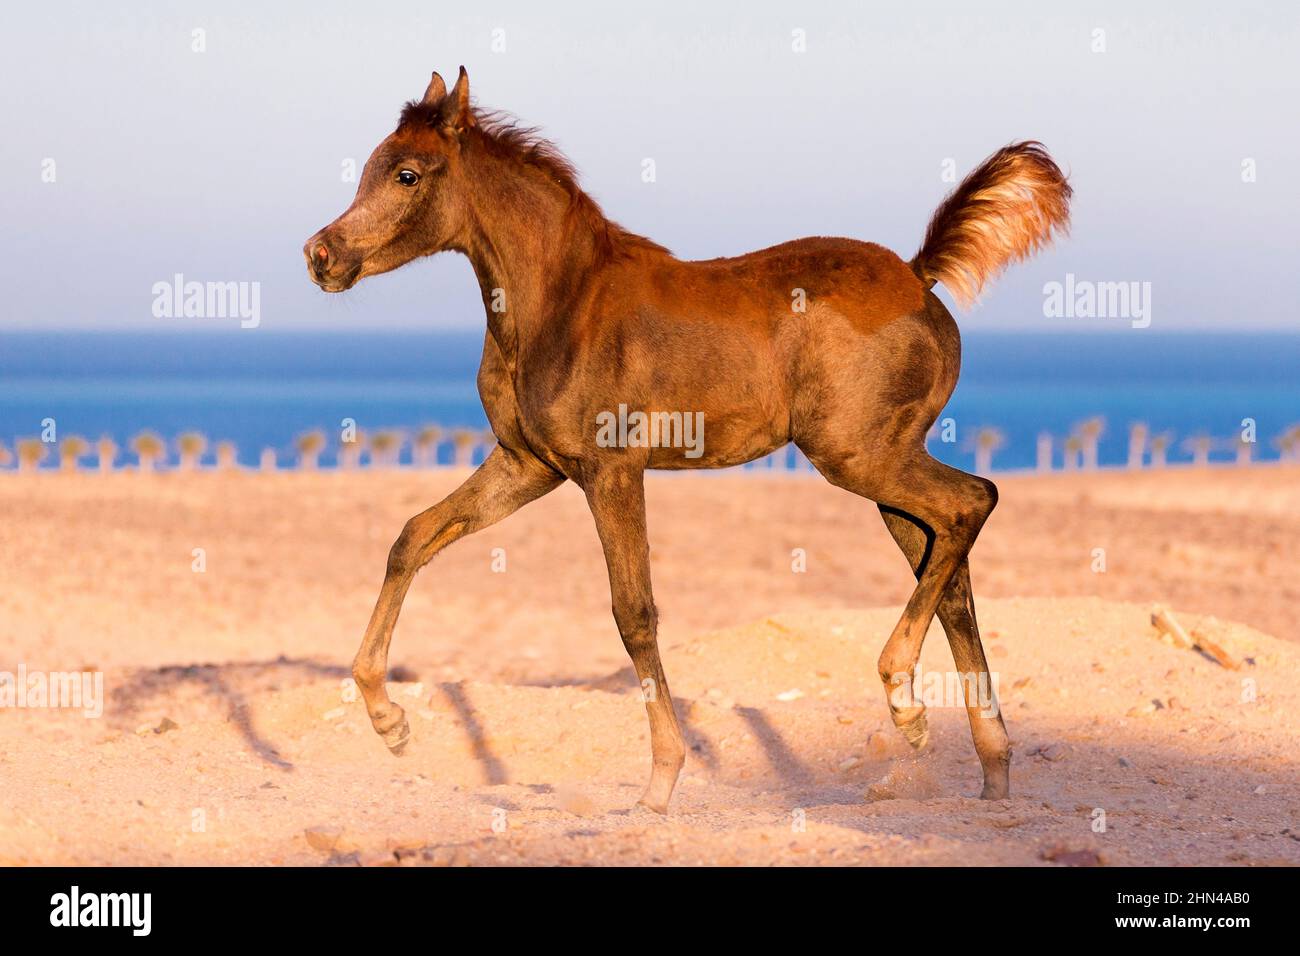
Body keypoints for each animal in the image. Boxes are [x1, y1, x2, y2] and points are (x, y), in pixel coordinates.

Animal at [304, 67, 1071, 813]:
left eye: (407, 174)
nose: (321, 255)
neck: (561, 303)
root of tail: (917, 274)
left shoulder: (611, 470)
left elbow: (634, 613)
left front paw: (660, 782)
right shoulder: (528, 466)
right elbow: (413, 536)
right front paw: (388, 721)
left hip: (860, 457)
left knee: (972, 501)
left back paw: (905, 700)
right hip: (884, 471)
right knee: (952, 572)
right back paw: (990, 768)